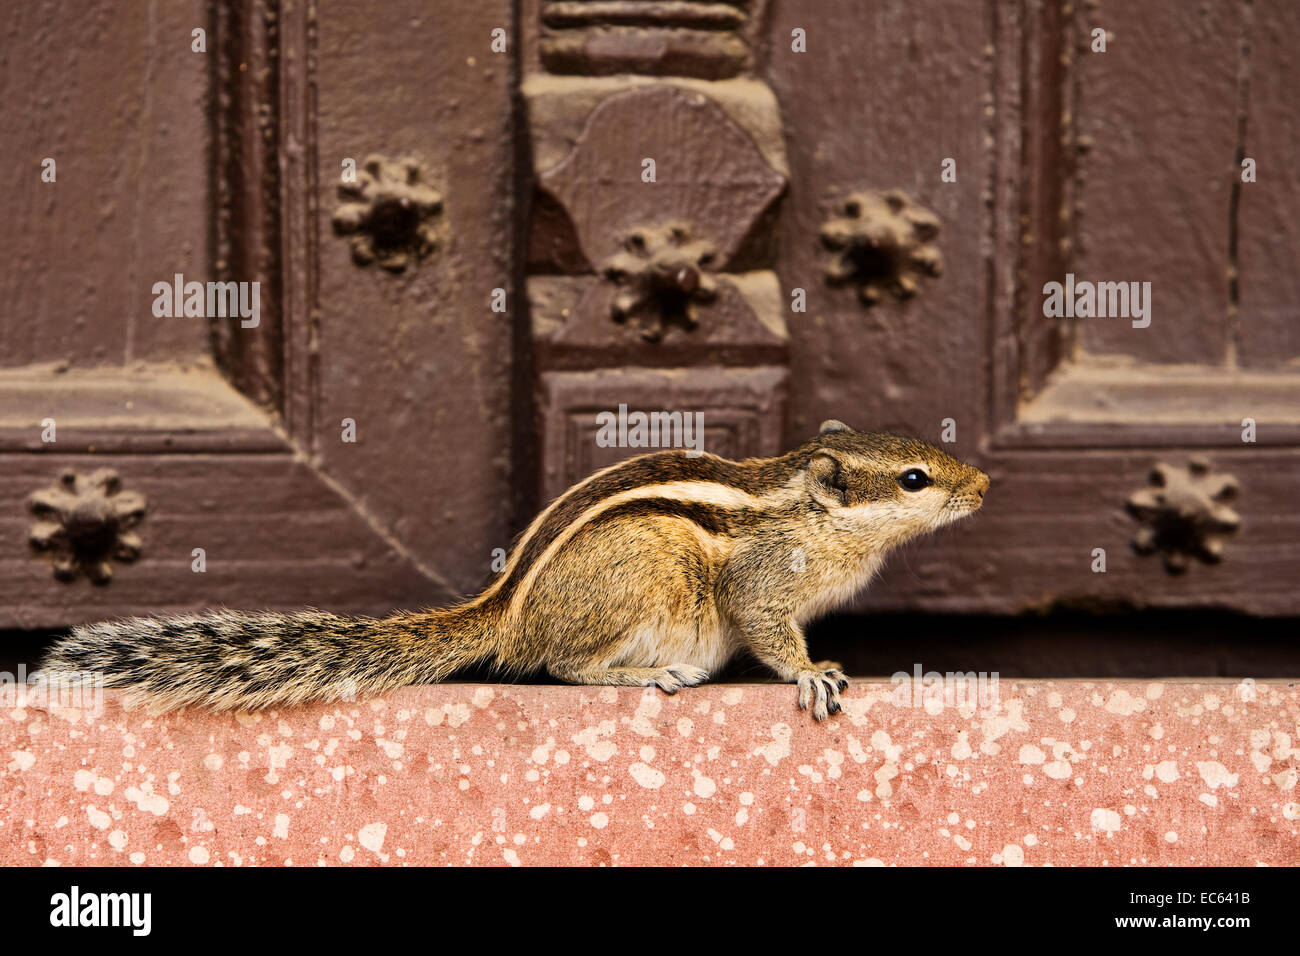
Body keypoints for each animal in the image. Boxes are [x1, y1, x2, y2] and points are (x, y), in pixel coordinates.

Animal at [40, 420, 989, 720]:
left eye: (929, 456)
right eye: (915, 479)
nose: (983, 483)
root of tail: (504, 611)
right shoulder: (759, 580)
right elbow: (768, 627)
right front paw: (811, 672)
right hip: (644, 578)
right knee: (561, 667)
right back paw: (647, 674)